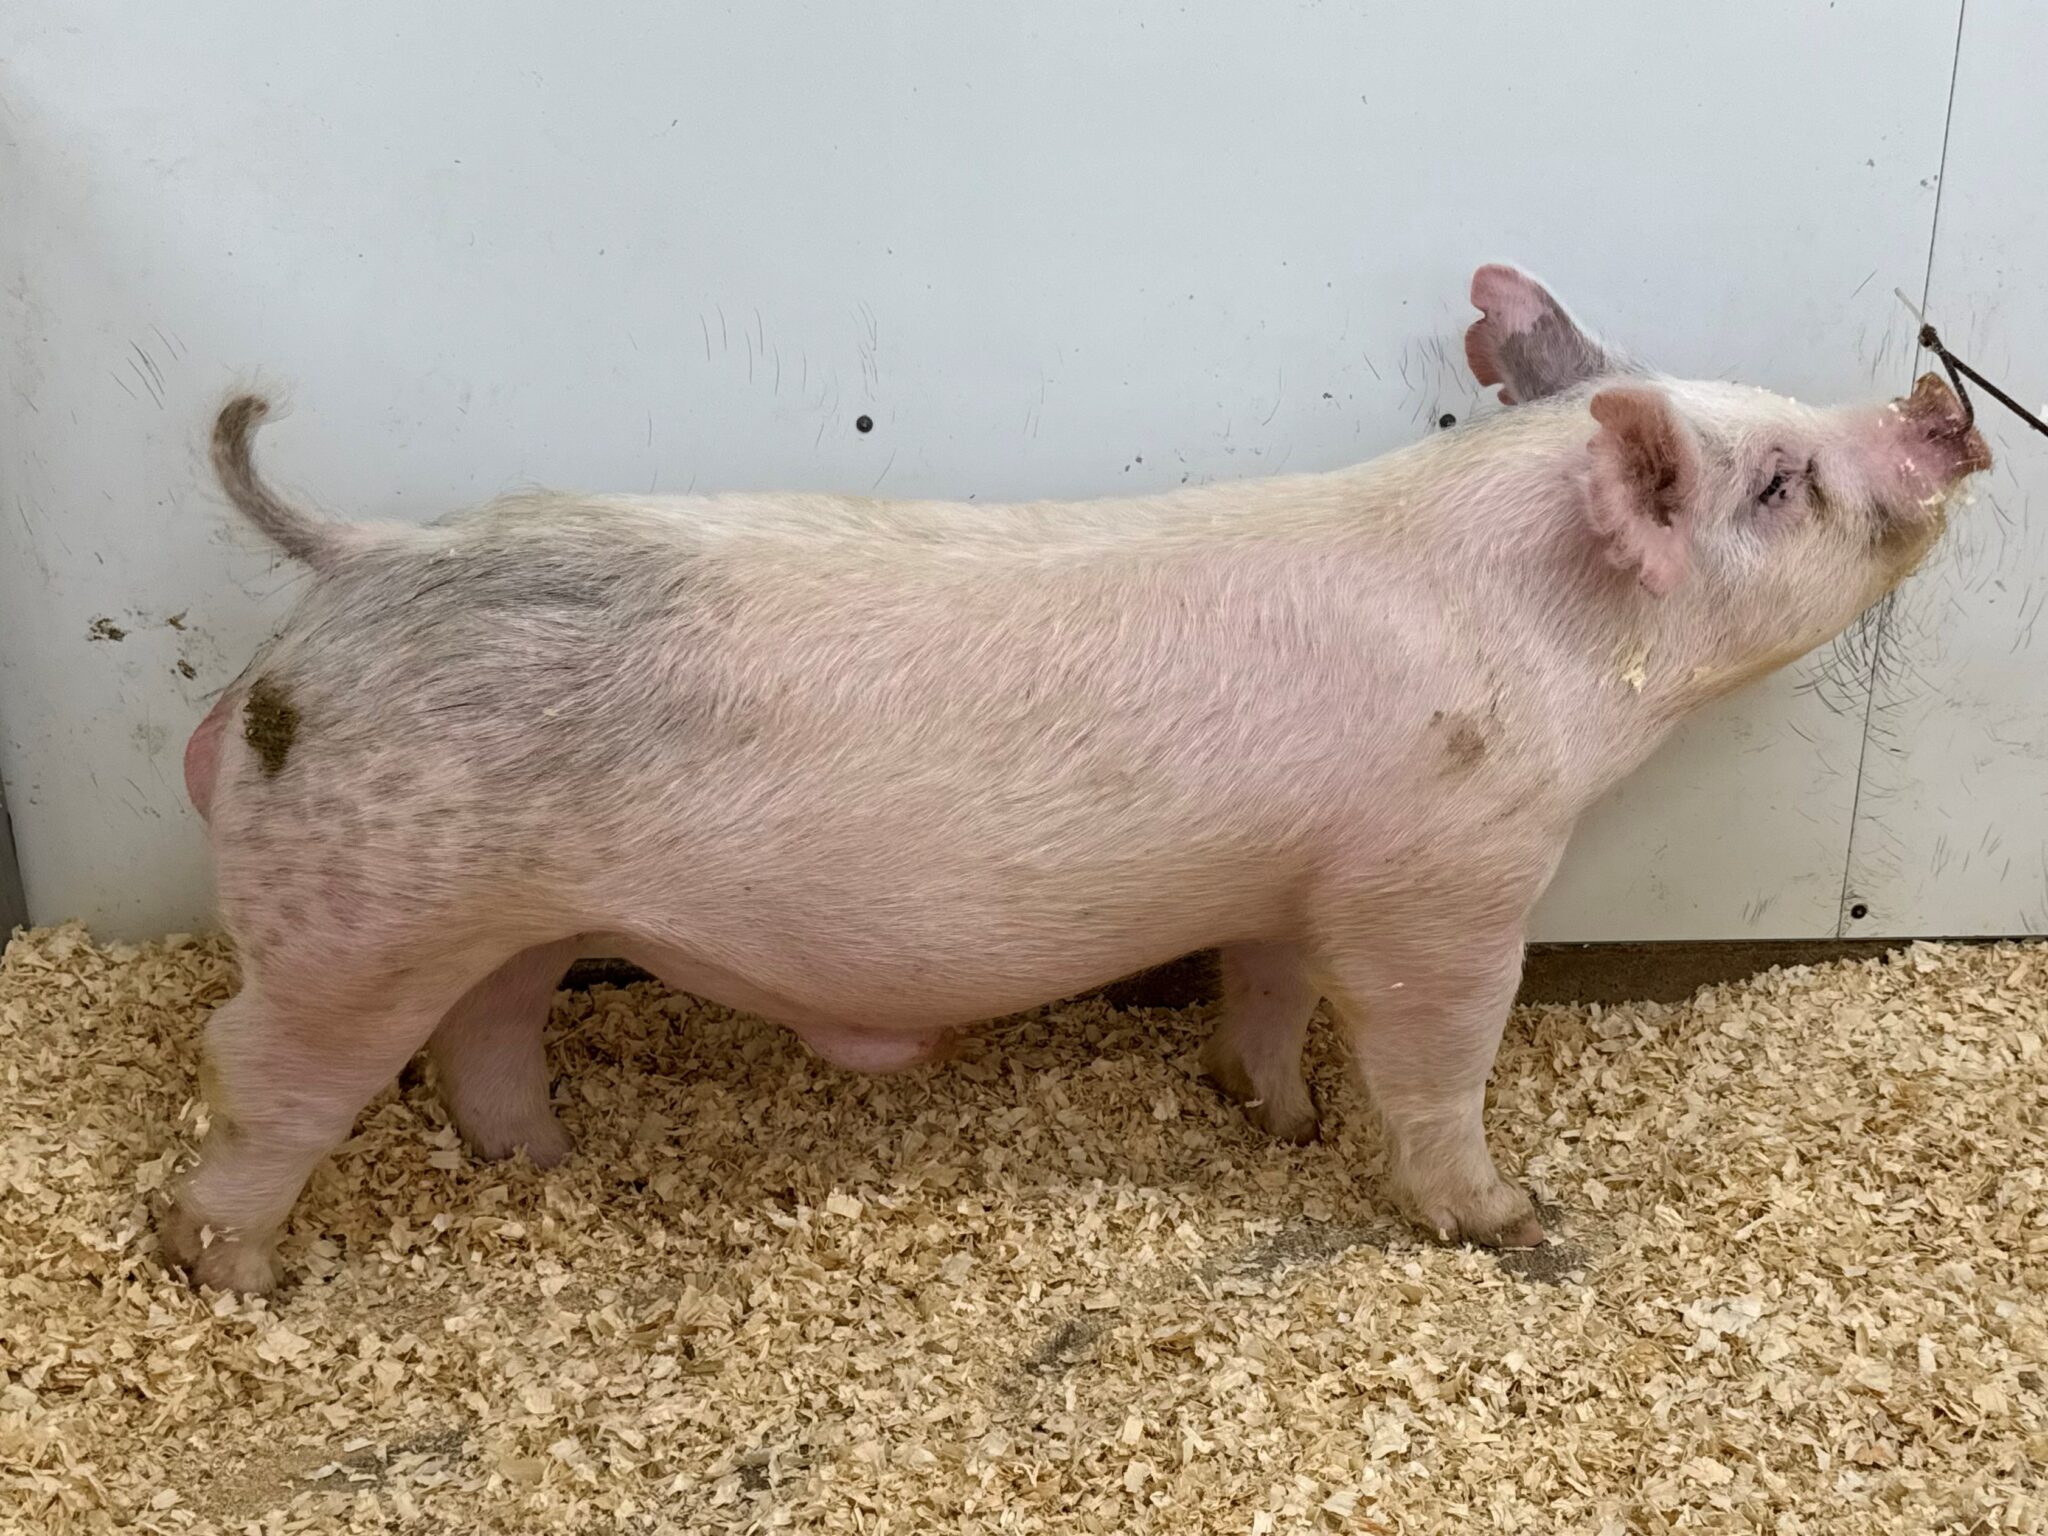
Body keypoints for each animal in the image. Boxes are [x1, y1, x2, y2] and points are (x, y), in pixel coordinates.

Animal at [163, 263, 1991, 1294]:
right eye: (1775, 484)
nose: (1938, 406)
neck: (1537, 632)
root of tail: (359, 557)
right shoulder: (1446, 872)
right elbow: (1435, 1053)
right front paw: (1511, 1221)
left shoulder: (1291, 878)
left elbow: (1264, 989)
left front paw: (1266, 1115)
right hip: (358, 912)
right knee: (261, 1069)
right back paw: (233, 1275)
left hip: (509, 911)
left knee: (487, 1027)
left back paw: (544, 1169)